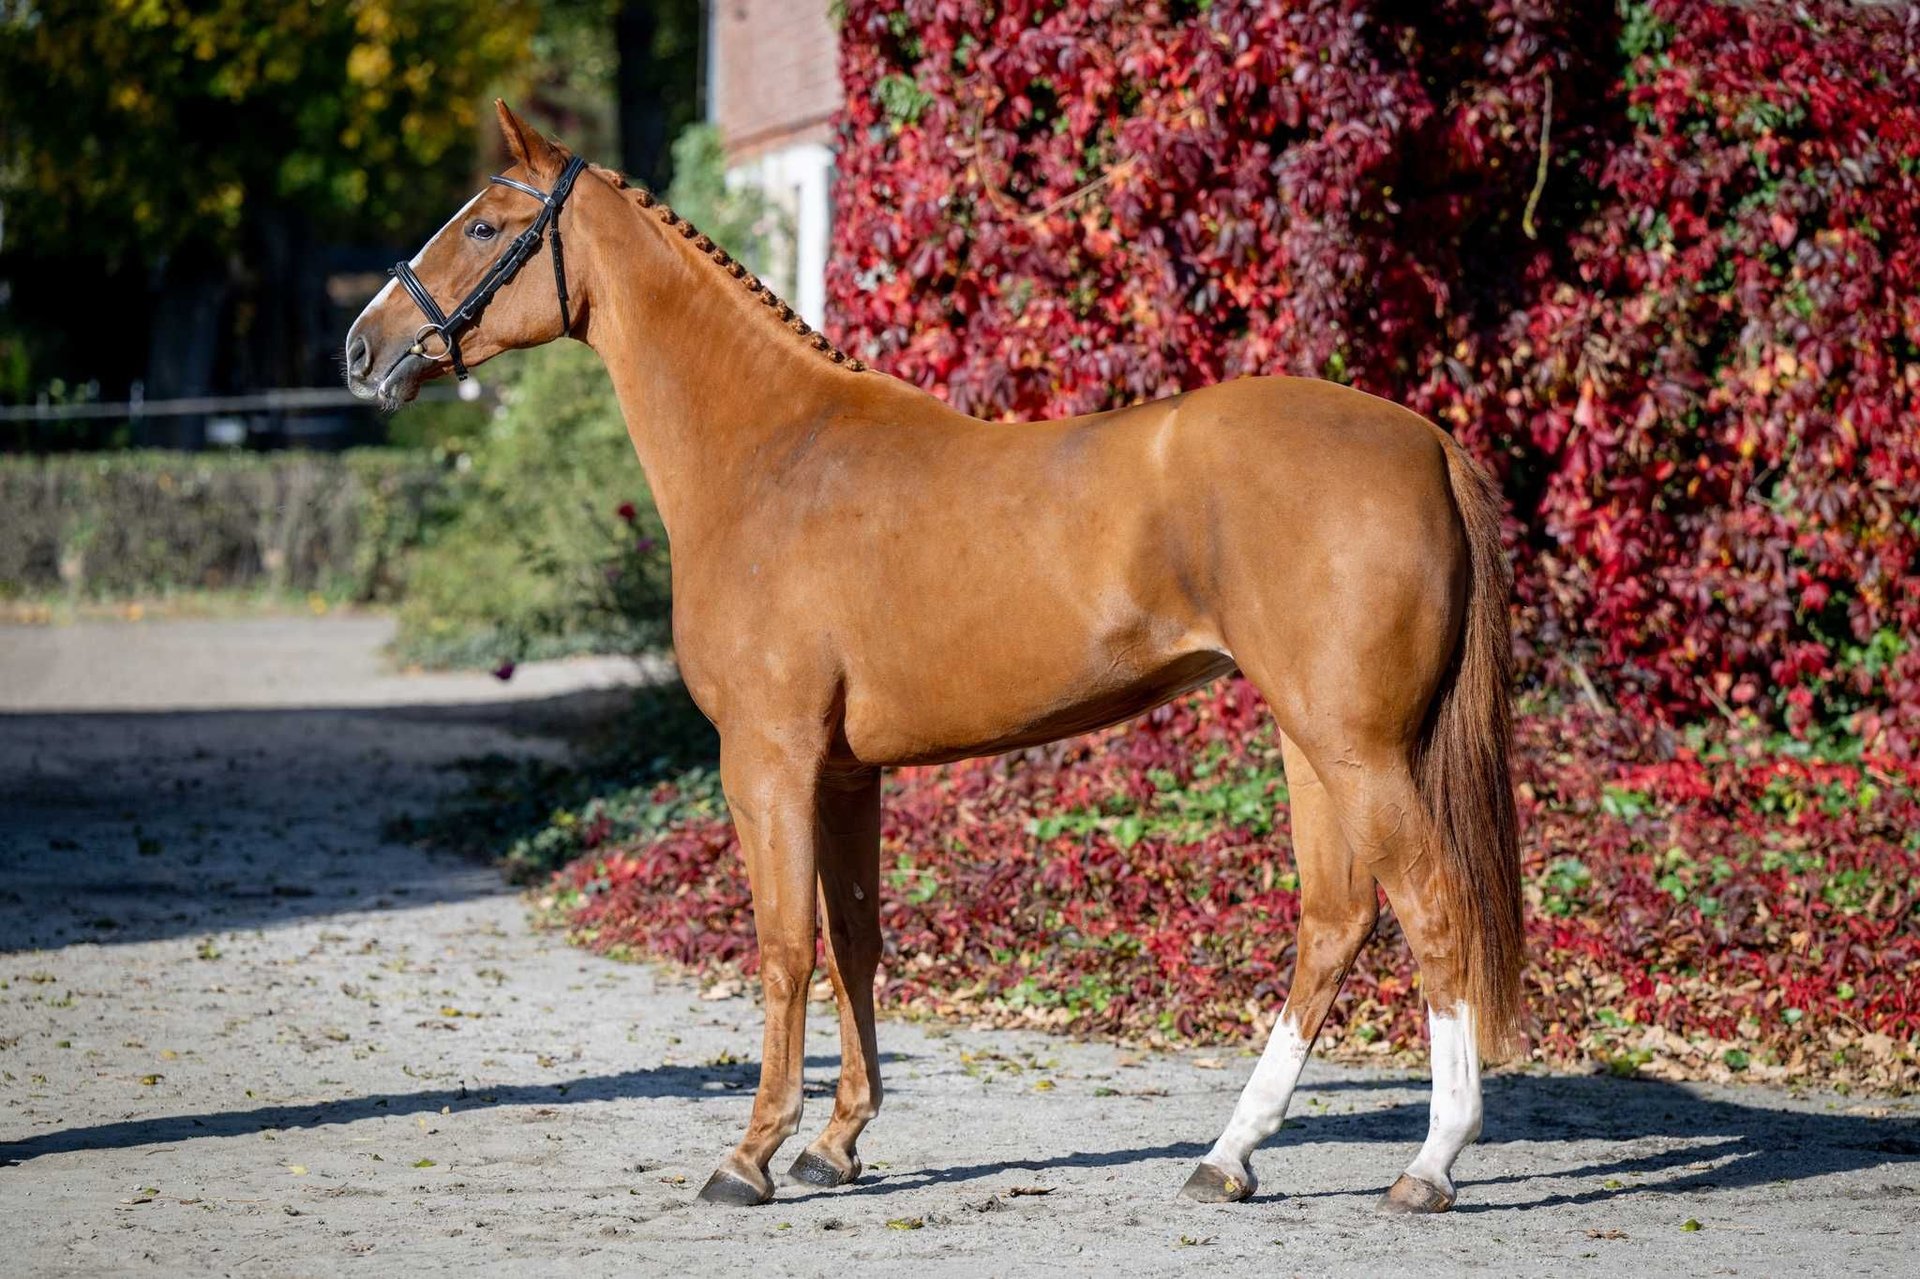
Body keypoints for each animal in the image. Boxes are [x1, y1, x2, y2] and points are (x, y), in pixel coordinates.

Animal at [346, 102, 1524, 1215]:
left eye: (484, 226)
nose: (362, 348)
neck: (772, 454)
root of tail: (1424, 439)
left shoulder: (767, 762)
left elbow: (784, 948)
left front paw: (751, 1155)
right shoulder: (843, 773)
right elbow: (857, 943)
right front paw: (835, 1145)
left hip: (1356, 748)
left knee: (1432, 906)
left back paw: (1430, 1163)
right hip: (1311, 744)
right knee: (1337, 921)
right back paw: (1228, 1156)